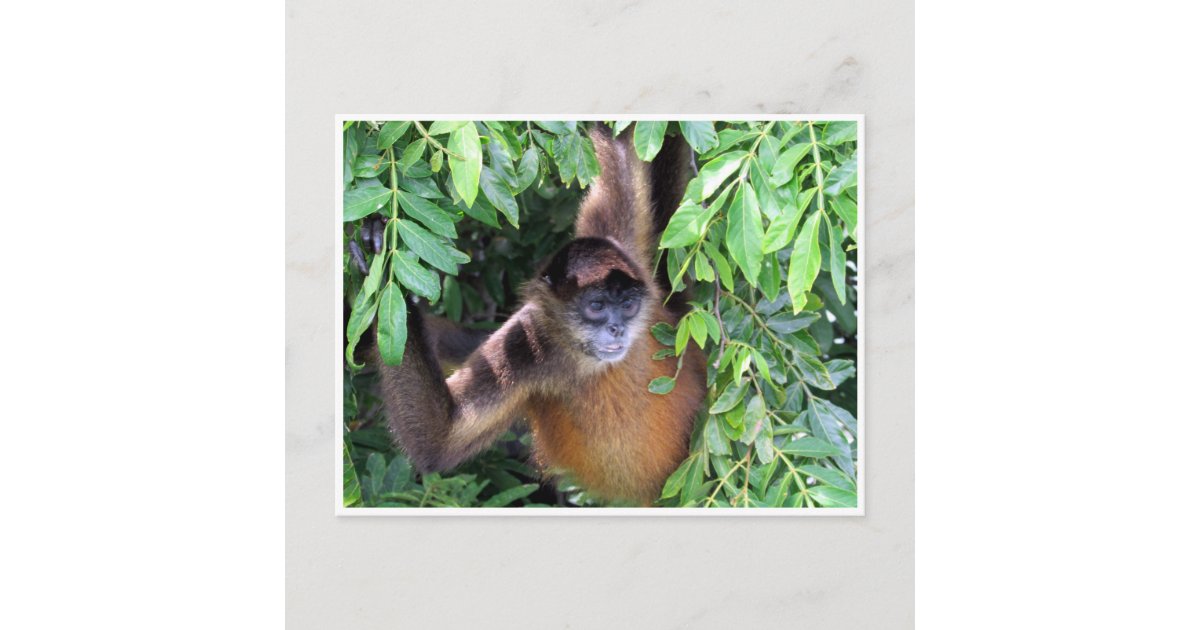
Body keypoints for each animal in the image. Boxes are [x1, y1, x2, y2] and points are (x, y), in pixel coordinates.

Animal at [377, 125, 706, 505]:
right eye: (596, 306)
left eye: (627, 305)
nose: (617, 329)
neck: (589, 360)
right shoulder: (529, 342)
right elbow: (438, 440)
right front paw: (383, 281)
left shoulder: (621, 249)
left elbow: (622, 153)